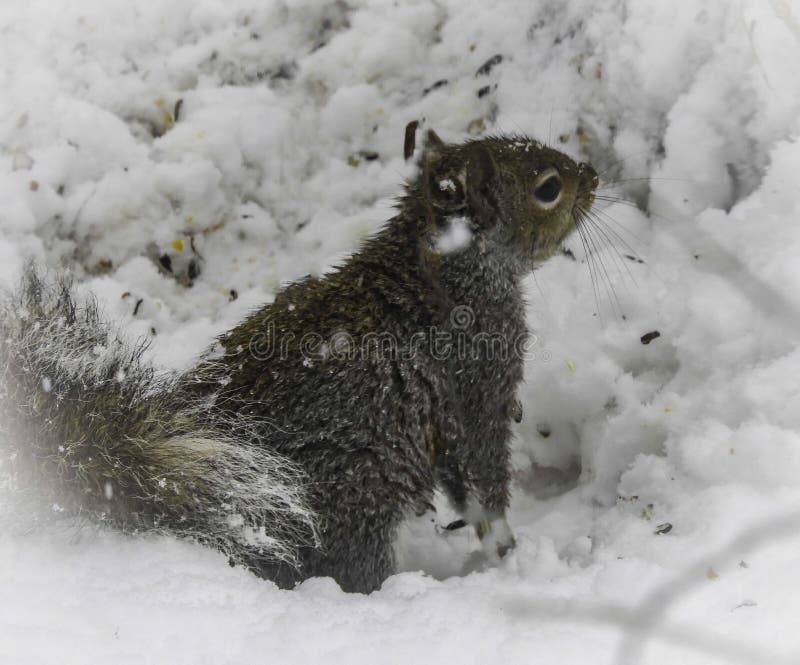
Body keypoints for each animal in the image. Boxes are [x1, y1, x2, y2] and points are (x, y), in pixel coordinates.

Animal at [0, 125, 598, 593]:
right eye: (548, 188)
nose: (591, 175)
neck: (442, 265)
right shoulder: (479, 376)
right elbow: (483, 472)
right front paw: (508, 551)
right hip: (354, 501)